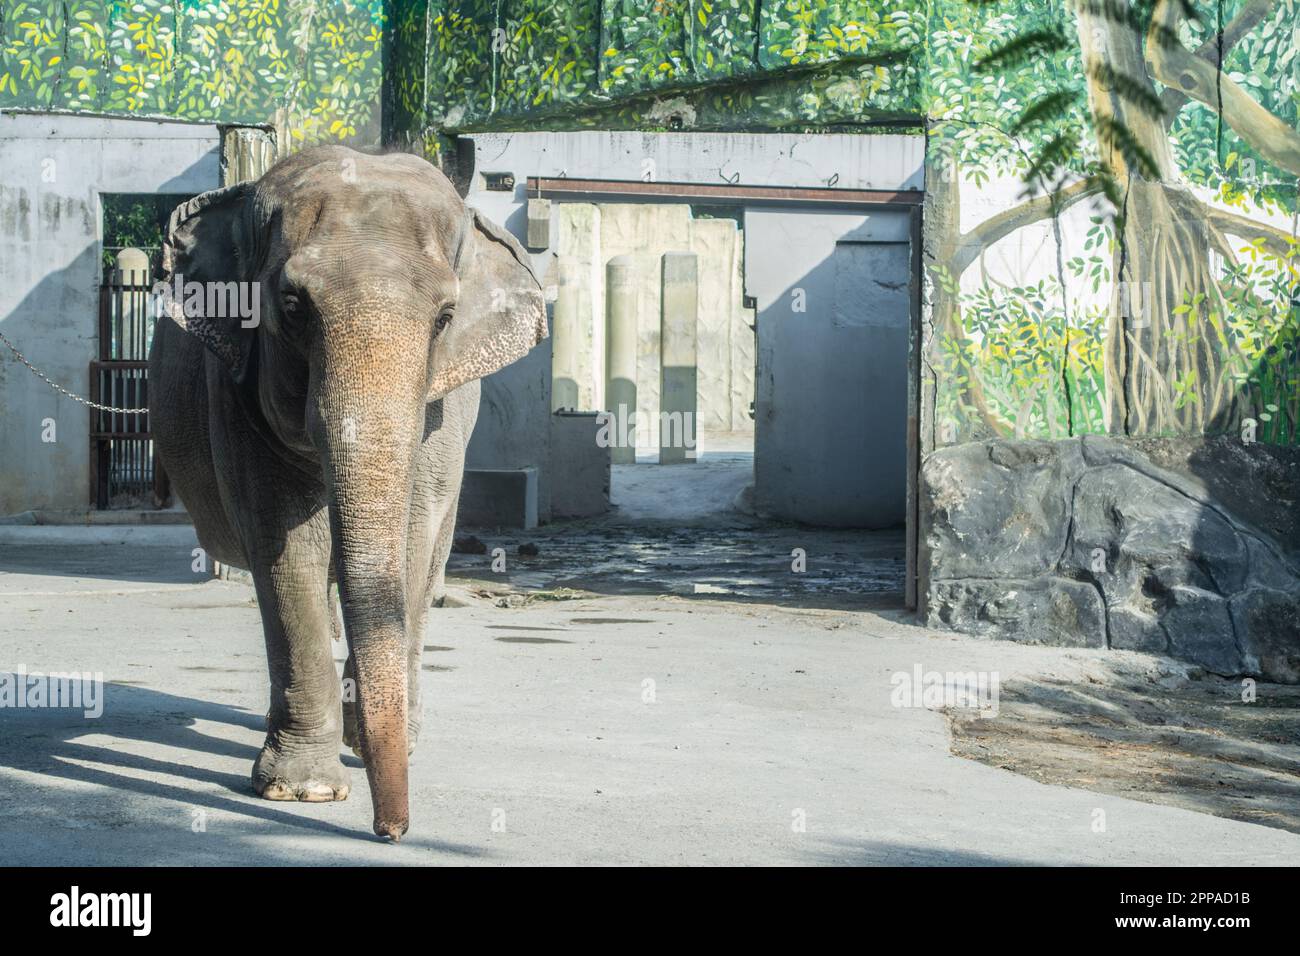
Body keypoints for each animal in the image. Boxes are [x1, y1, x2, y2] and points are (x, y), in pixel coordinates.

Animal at [148, 145, 547, 840]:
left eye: (445, 318)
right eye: (291, 304)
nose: (392, 831)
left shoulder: (442, 414)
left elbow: (410, 539)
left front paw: (370, 747)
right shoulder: (235, 394)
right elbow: (286, 551)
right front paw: (303, 791)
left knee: (429, 563)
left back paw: (398, 730)